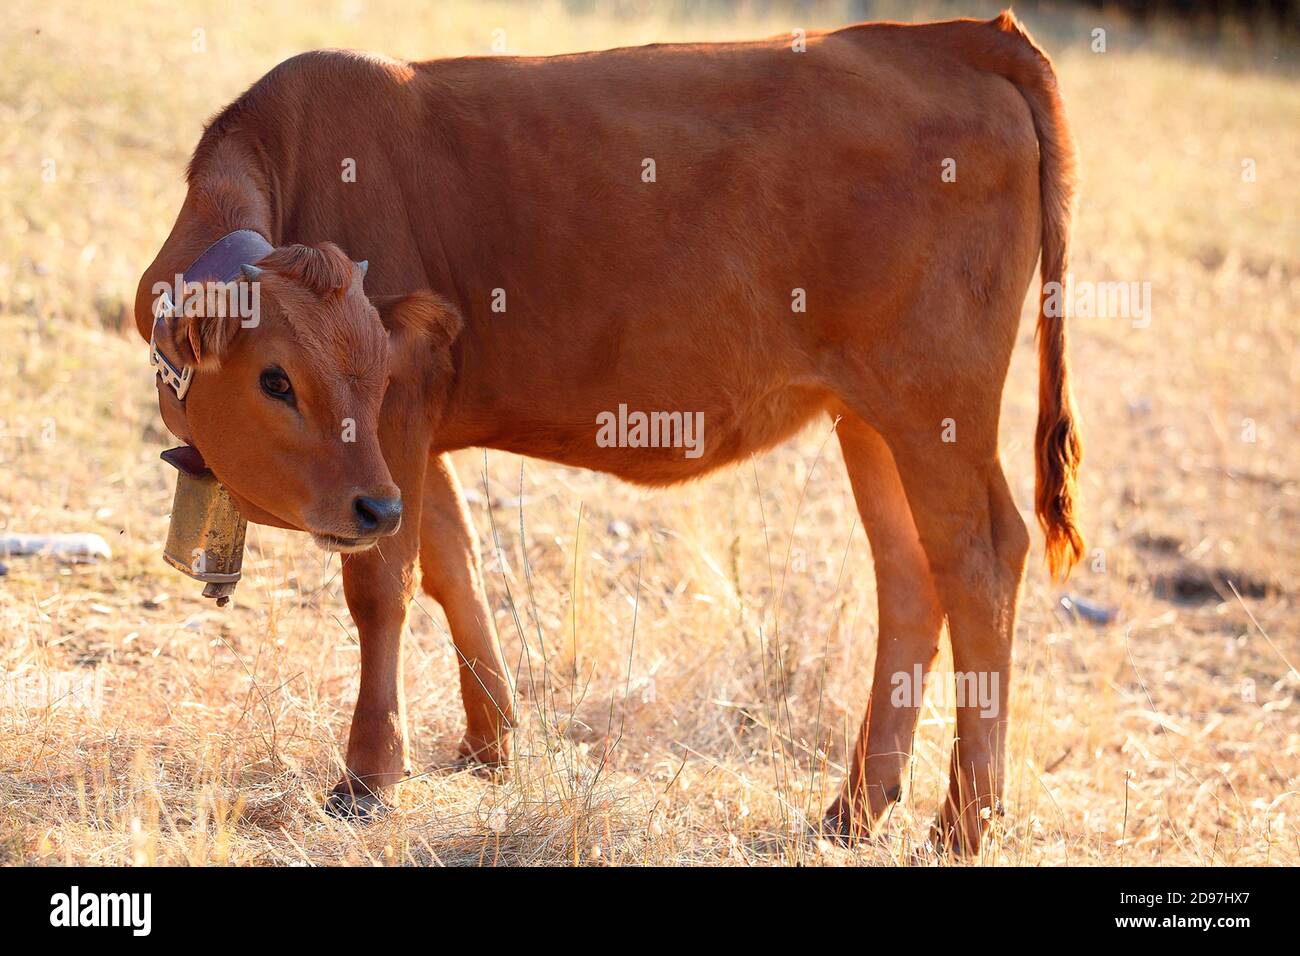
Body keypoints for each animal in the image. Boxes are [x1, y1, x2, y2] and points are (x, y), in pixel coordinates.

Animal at [134, 10, 1083, 855]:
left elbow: (382, 588)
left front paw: (367, 778)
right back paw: (855, 807)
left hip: (936, 409)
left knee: (979, 560)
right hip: (872, 418)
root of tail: (950, 36)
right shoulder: (411, 447)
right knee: (911, 576)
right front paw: (492, 742)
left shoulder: (401, 419)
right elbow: (452, 563)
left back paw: (962, 823)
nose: (368, 508)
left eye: (355, 377)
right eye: (277, 379)